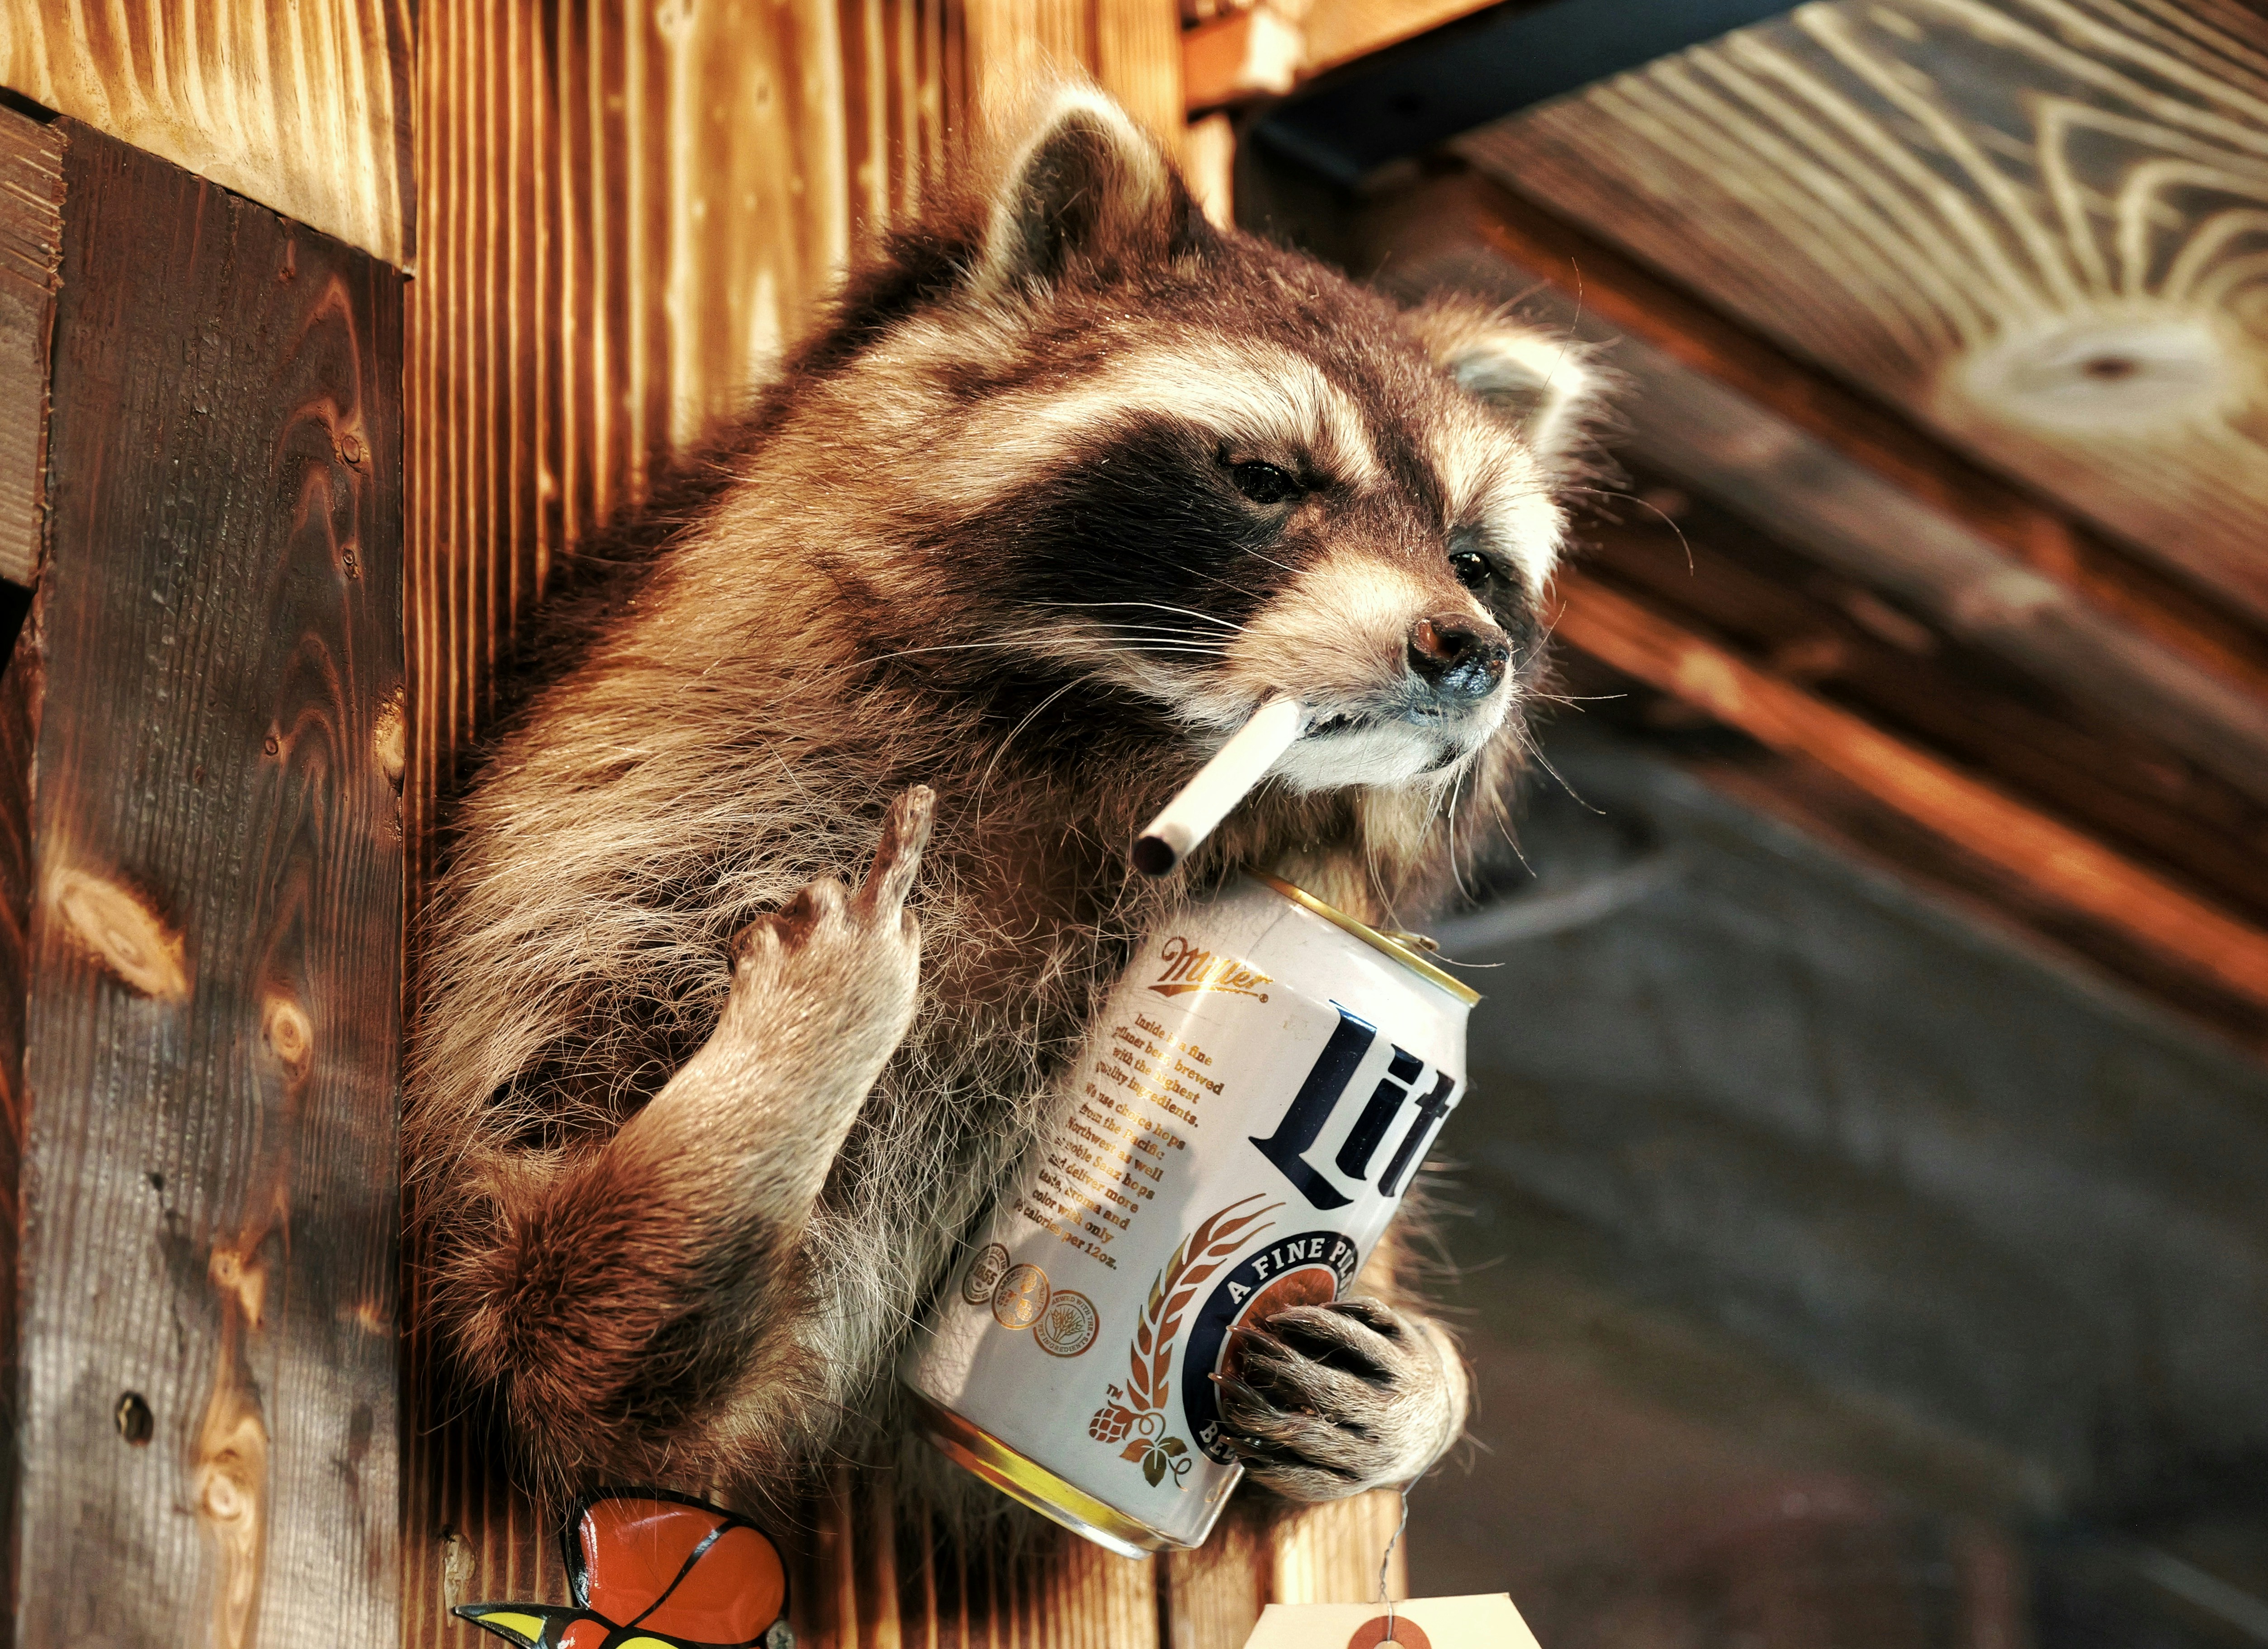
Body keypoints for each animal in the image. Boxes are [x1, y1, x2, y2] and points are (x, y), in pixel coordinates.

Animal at [406, 85, 1598, 1520]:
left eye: (1474, 559)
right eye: (1264, 477)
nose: (1465, 647)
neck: (1124, 738)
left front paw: (1421, 1389)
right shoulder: (626, 809)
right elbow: (576, 1337)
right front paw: (760, 1102)